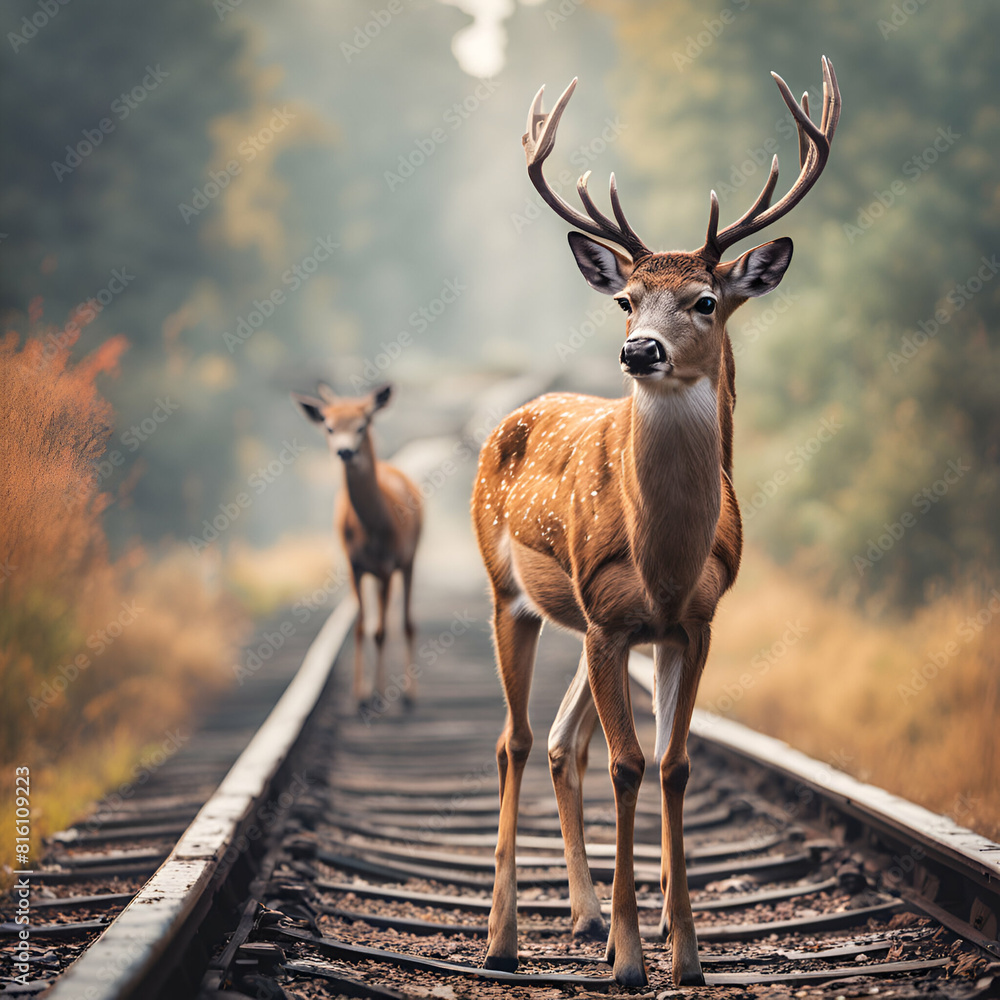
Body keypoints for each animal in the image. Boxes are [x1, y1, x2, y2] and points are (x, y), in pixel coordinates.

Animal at [294, 382, 422, 707]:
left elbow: (381, 631)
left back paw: (408, 693)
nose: (345, 451)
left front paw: (378, 694)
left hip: (410, 559)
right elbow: (362, 627)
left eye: (362, 425)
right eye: (329, 426)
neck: (372, 531)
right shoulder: (354, 565)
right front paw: (360, 694)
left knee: (406, 622)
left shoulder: (388, 565)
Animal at [471, 59, 840, 987]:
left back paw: (584, 917)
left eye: (706, 299)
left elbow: (673, 765)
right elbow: (629, 764)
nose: (640, 350)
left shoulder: (689, 624)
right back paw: (503, 941)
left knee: (561, 743)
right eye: (628, 299)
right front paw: (635, 960)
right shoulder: (614, 621)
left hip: (588, 626)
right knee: (515, 740)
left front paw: (687, 955)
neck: (665, 558)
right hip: (510, 593)